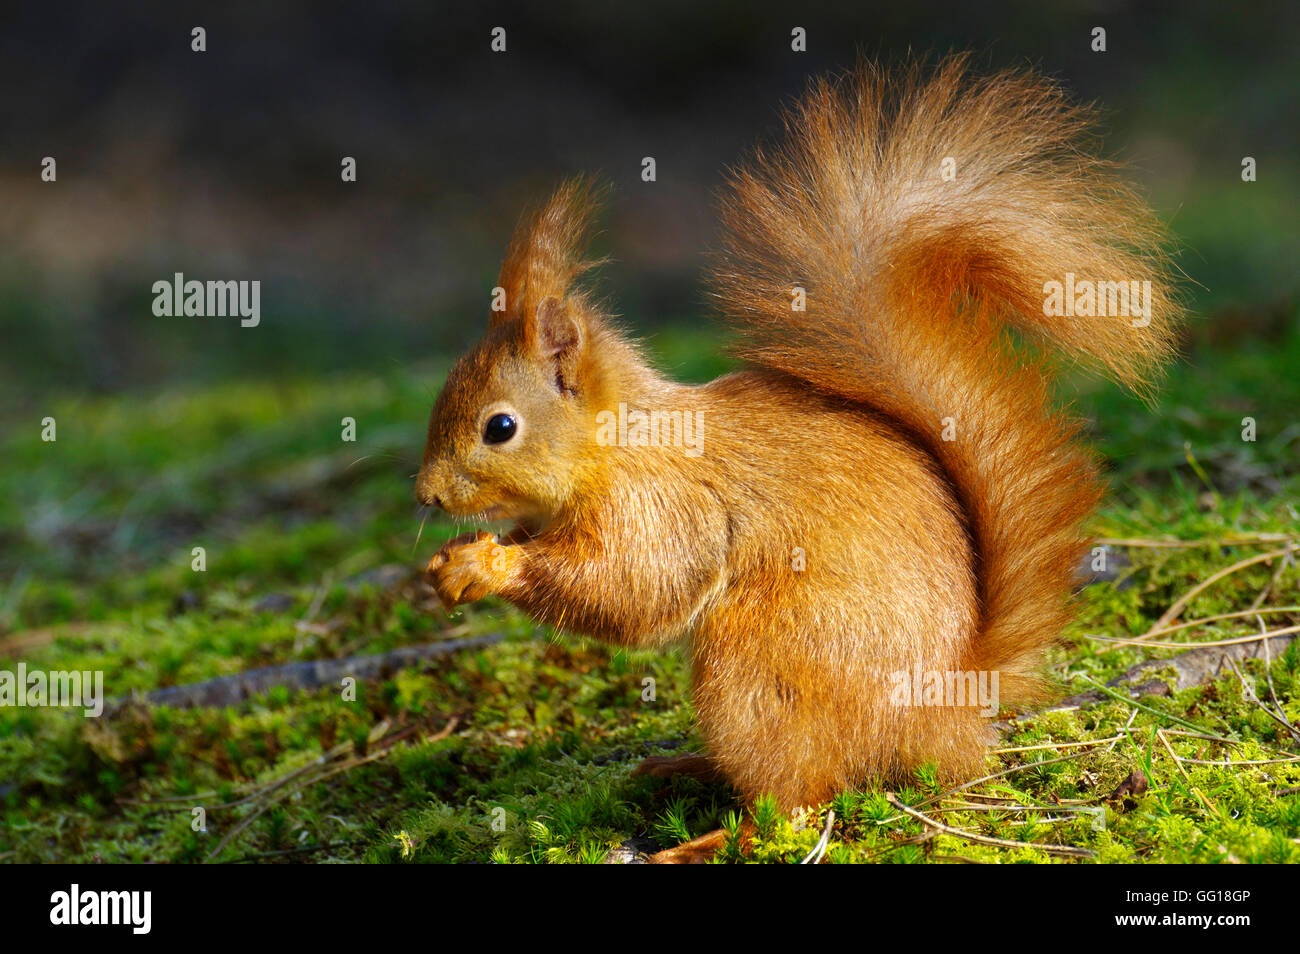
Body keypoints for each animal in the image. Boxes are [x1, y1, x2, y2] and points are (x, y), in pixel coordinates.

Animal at [416, 55, 1179, 826]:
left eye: (500, 427)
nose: (426, 494)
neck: (621, 444)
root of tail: (948, 706)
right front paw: (457, 557)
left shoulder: (663, 506)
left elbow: (630, 588)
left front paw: (490, 565)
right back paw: (685, 772)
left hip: (763, 660)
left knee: (802, 795)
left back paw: (722, 832)